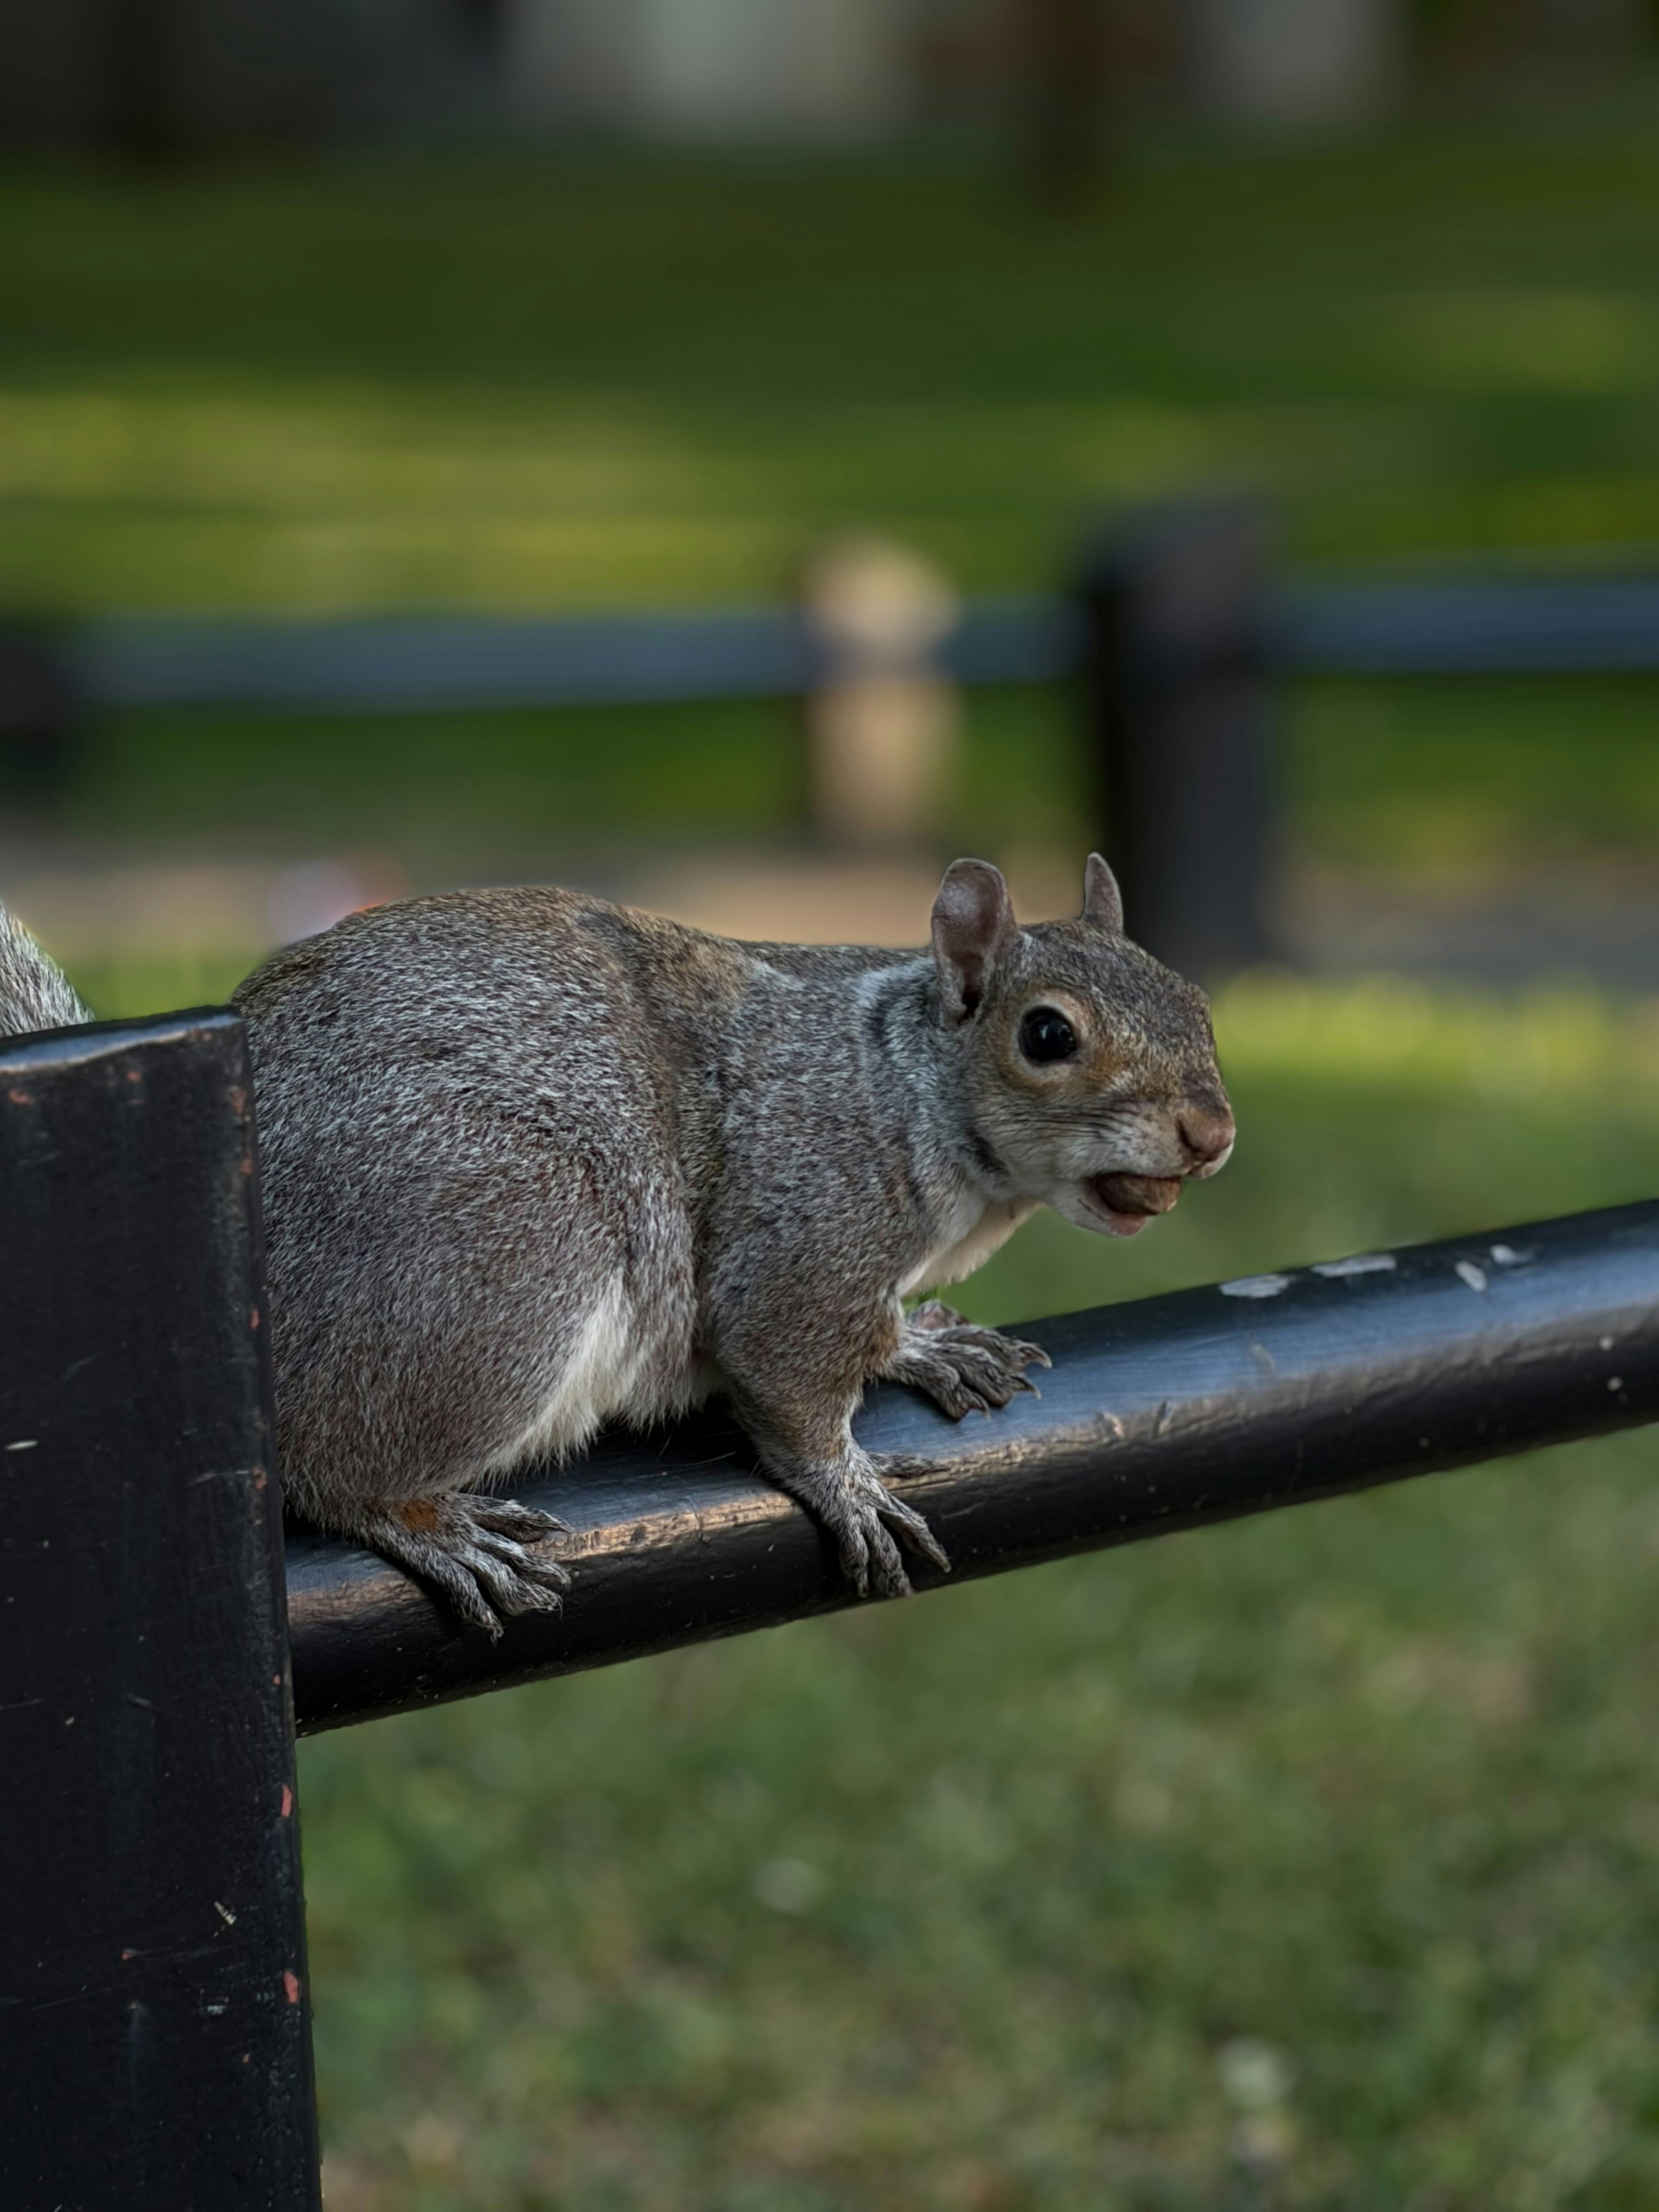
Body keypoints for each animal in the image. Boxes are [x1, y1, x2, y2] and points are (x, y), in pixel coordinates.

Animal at [0, 857, 1233, 1634]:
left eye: (1197, 999)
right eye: (1046, 1035)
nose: (1211, 1134)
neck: (901, 1077)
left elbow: (876, 1334)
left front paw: (928, 1343)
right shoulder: (807, 1225)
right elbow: (787, 1375)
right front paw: (848, 1486)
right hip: (506, 1252)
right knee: (320, 1464)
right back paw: (421, 1521)